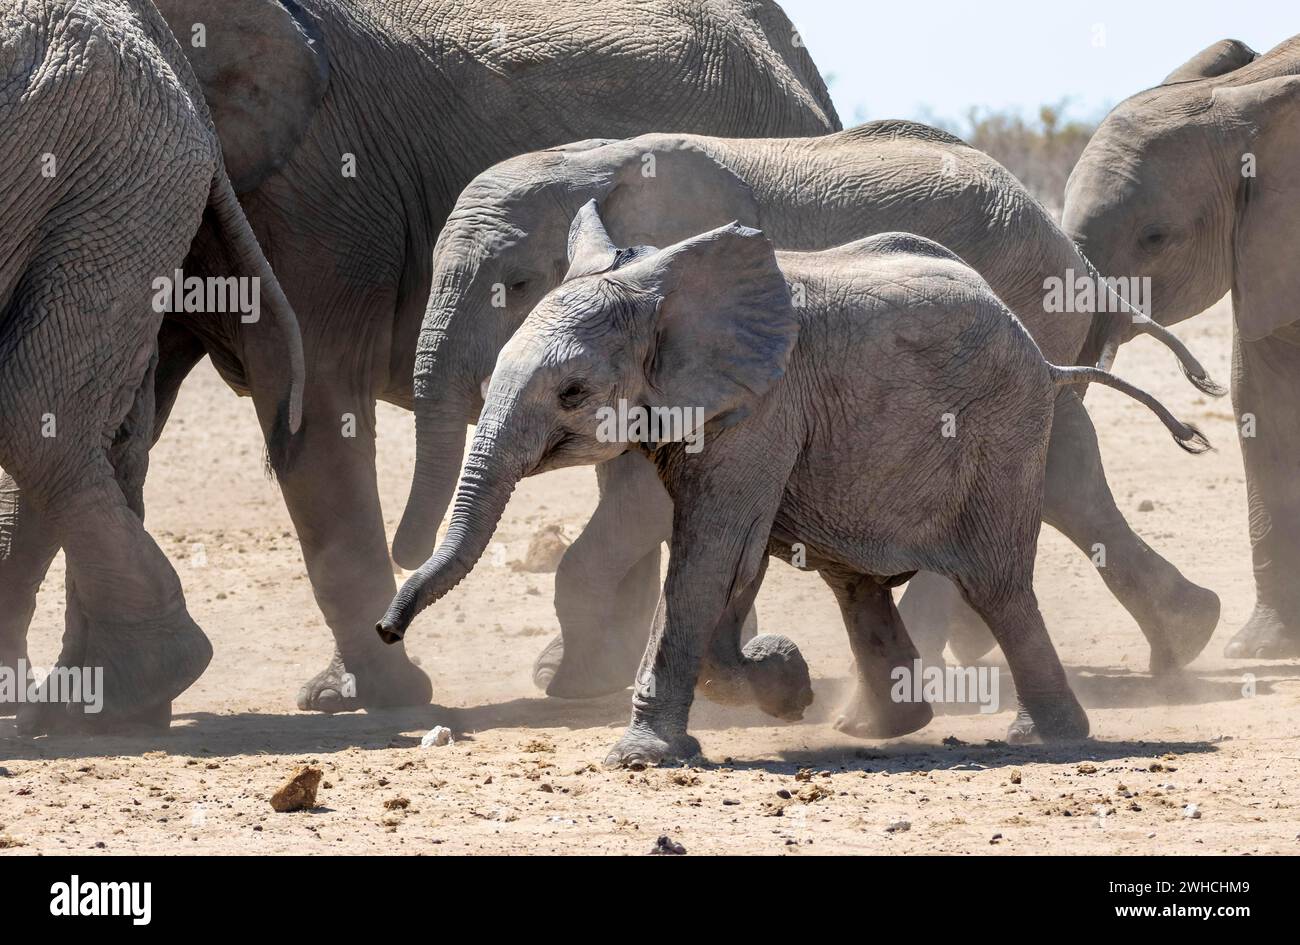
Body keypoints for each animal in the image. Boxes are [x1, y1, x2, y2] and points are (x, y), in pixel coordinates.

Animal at [390, 122, 1224, 700]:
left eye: (515, 281)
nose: (389, 621)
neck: (598, 160)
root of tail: (1075, 256)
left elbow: (646, 502)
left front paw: (566, 683)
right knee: (1066, 464)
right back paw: (1188, 634)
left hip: (1021, 296)